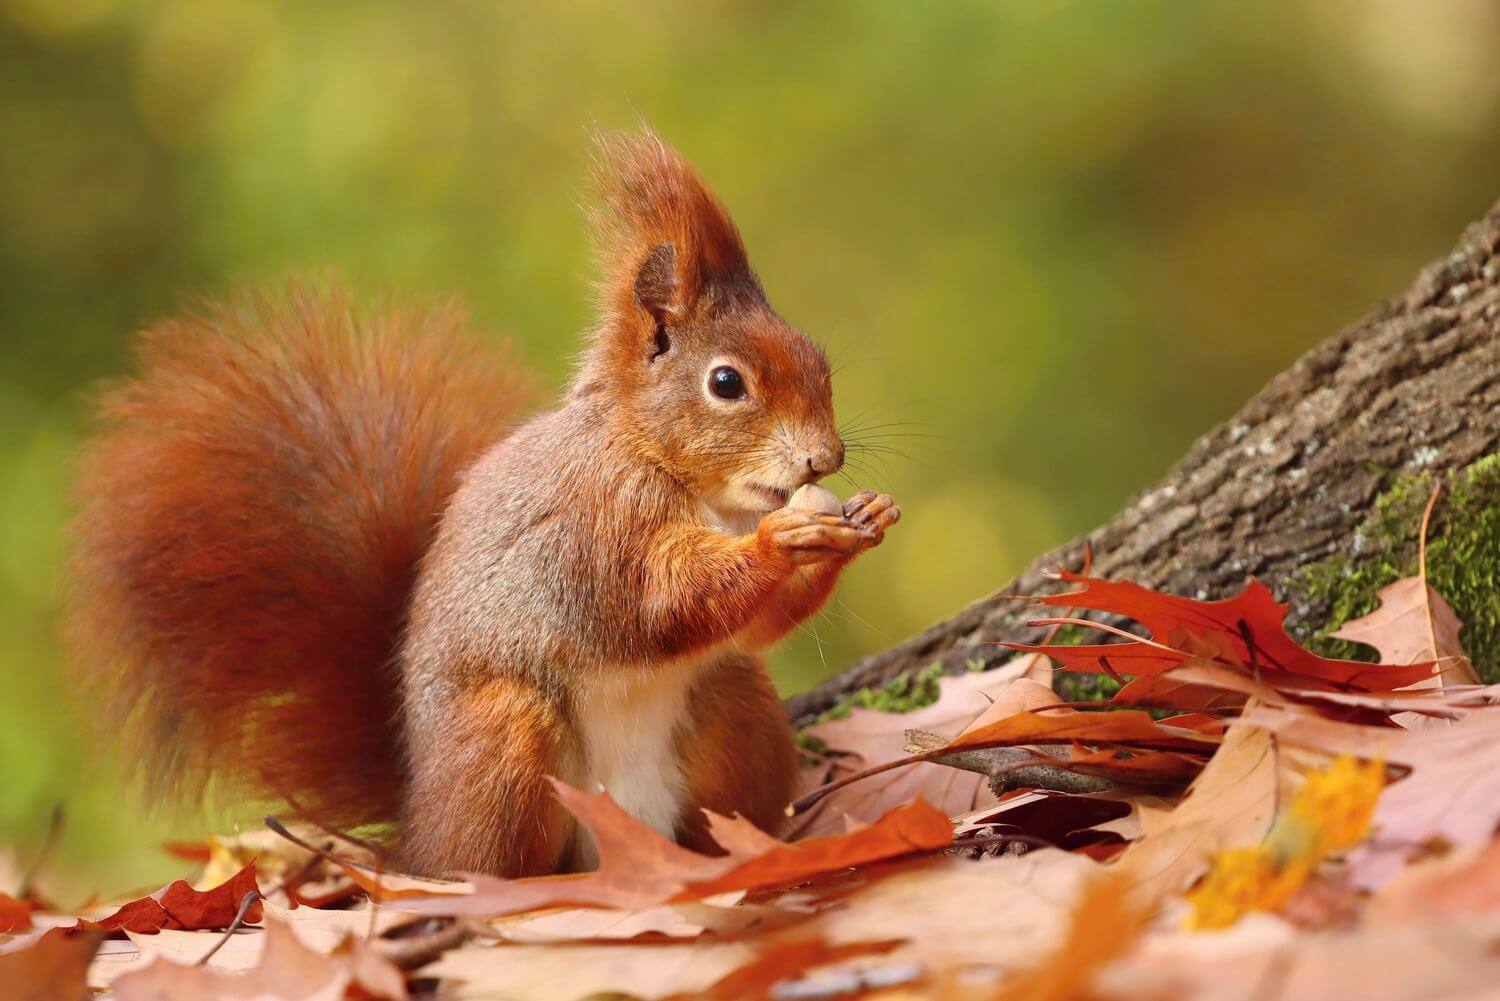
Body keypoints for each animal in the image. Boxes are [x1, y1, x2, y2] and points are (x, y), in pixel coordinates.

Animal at [66, 128, 901, 878]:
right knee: (487, 859)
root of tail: (417, 819)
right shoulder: (595, 525)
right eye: (727, 383)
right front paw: (780, 540)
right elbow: (661, 599)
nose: (826, 457)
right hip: (504, 737)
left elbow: (754, 625)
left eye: (818, 359)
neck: (689, 482)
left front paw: (864, 521)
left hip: (733, 711)